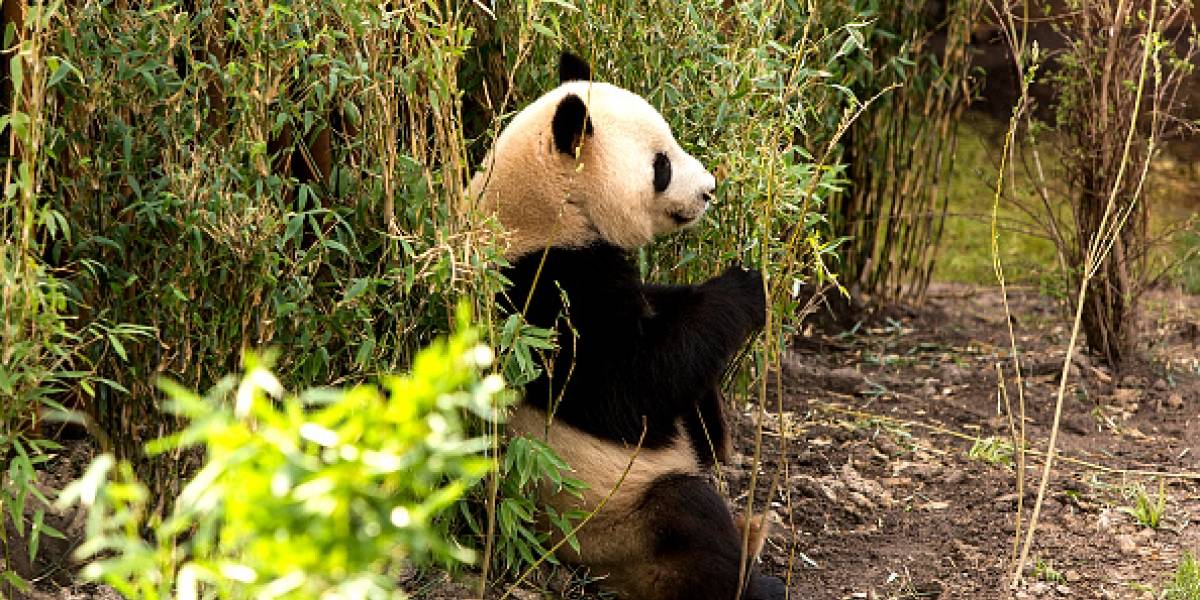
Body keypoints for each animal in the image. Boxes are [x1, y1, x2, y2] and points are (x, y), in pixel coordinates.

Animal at [471, 52, 787, 600]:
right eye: (661, 165)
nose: (709, 190)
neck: (545, 206)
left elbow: (669, 331)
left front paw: (718, 420)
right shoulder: (544, 297)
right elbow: (630, 385)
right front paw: (749, 285)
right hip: (615, 525)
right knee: (687, 515)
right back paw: (753, 582)